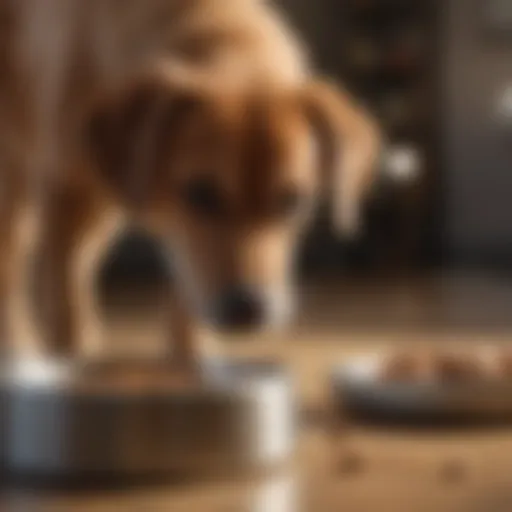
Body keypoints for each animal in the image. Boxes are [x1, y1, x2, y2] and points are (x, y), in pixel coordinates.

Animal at [0, 0, 378, 370]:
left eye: (292, 201)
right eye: (201, 193)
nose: (248, 308)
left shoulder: (185, 245)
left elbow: (187, 302)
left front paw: (191, 361)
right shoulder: (68, 200)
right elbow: (67, 310)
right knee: (12, 267)